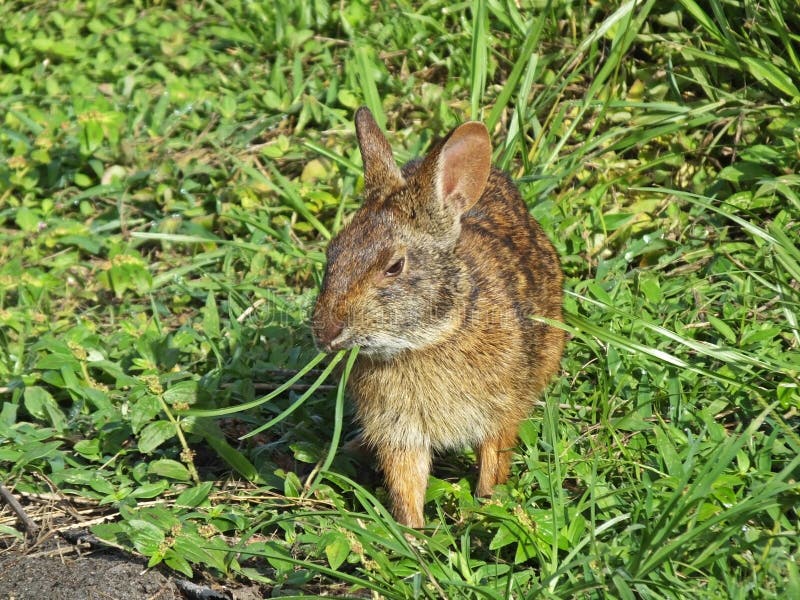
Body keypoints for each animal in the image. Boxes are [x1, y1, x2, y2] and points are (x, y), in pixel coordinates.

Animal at [312, 107, 565, 528]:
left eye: (395, 267)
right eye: (332, 252)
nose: (325, 333)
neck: (429, 338)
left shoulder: (499, 412)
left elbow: (492, 461)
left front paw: (486, 507)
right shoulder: (400, 432)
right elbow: (406, 482)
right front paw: (413, 532)